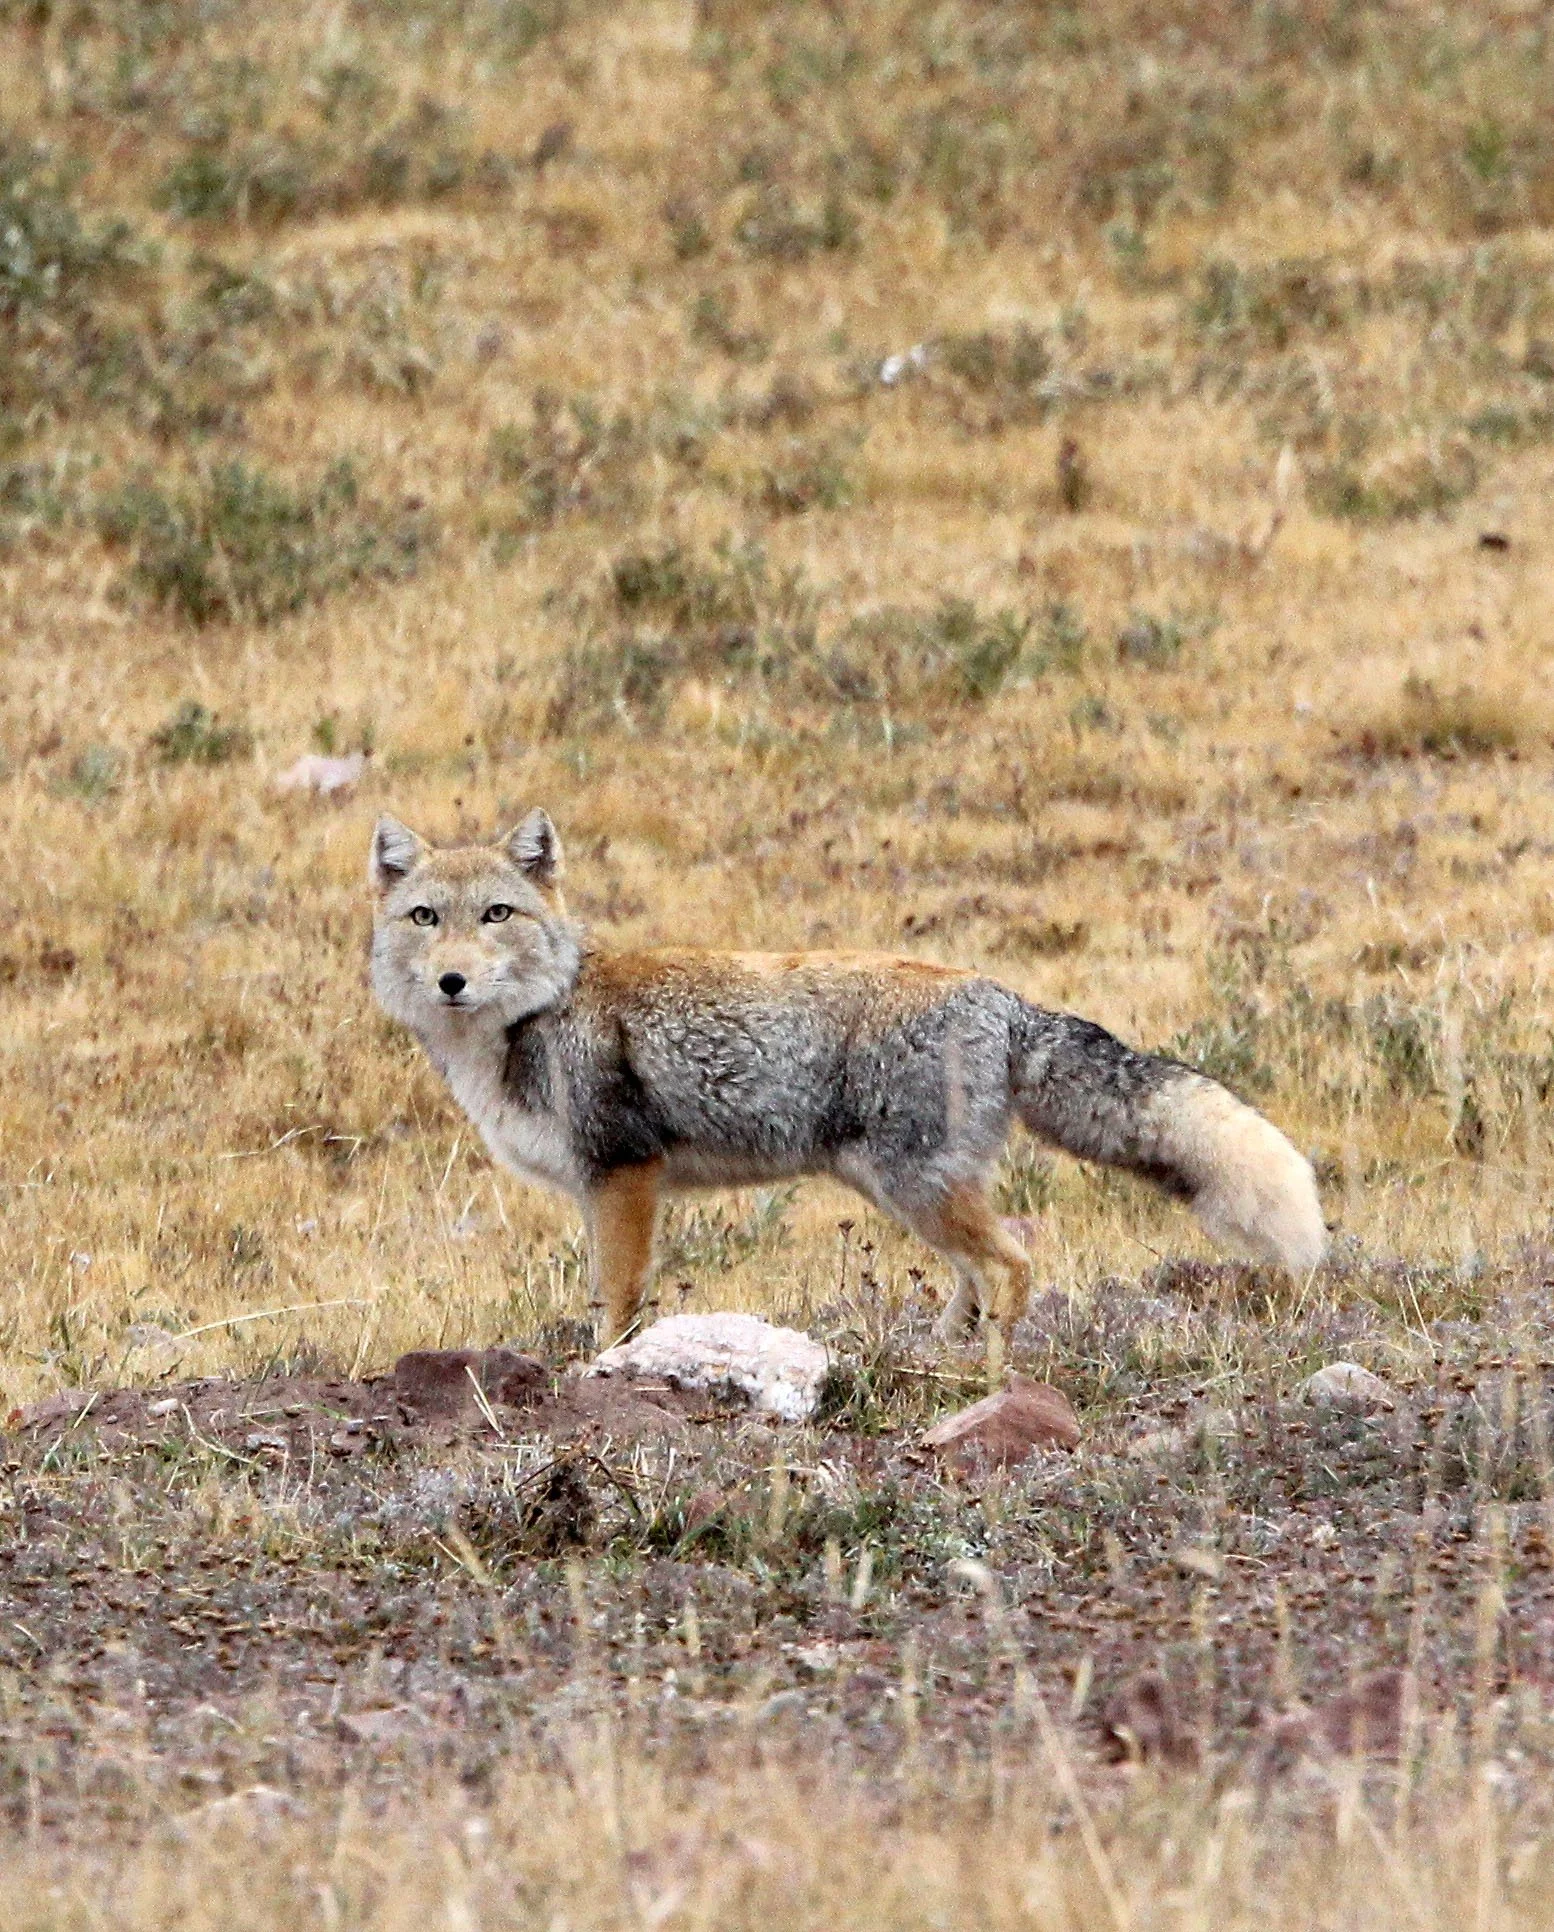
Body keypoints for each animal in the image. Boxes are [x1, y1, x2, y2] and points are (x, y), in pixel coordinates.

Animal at [368, 809, 1326, 1346]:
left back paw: (983, 1378)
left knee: (1012, 1268)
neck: (537, 1015)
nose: (452, 980)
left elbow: (618, 1297)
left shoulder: (624, 1174)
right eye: (426, 918)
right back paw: (935, 1354)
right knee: (976, 1275)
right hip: (907, 1190)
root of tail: (998, 995)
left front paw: (603, 1370)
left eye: (498, 914)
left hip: (914, 1186)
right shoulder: (595, 1189)